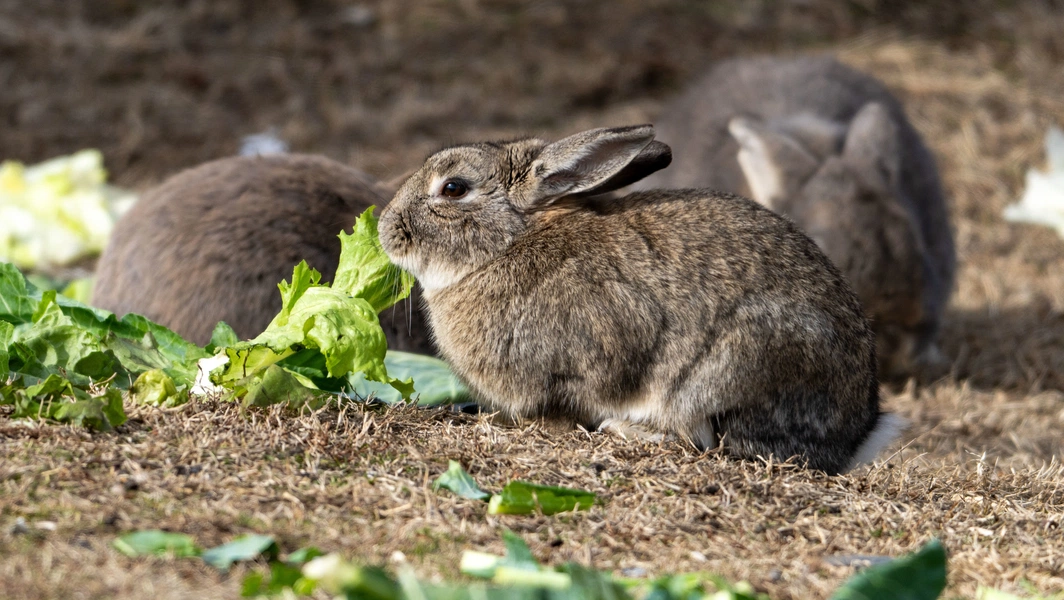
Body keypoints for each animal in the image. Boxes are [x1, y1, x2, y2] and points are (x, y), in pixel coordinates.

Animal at [377, 124, 904, 474]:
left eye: (453, 188)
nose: (384, 230)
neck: (509, 243)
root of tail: (856, 433)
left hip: (733, 365)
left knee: (706, 439)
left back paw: (624, 429)